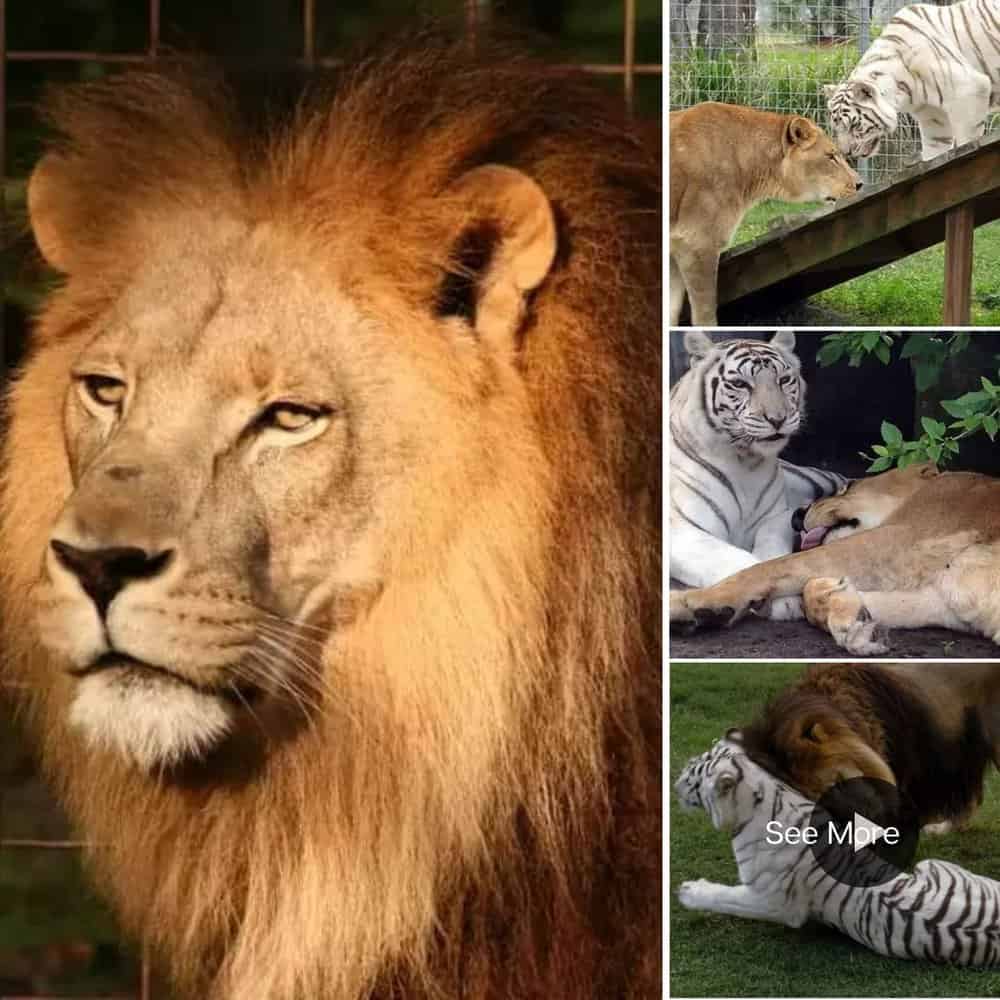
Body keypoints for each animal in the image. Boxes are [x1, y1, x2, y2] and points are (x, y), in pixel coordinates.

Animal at [670, 461, 1000, 655]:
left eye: (848, 486)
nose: (796, 514)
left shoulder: (901, 539)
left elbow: (776, 566)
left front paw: (692, 602)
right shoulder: (941, 598)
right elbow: (809, 590)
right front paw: (856, 623)